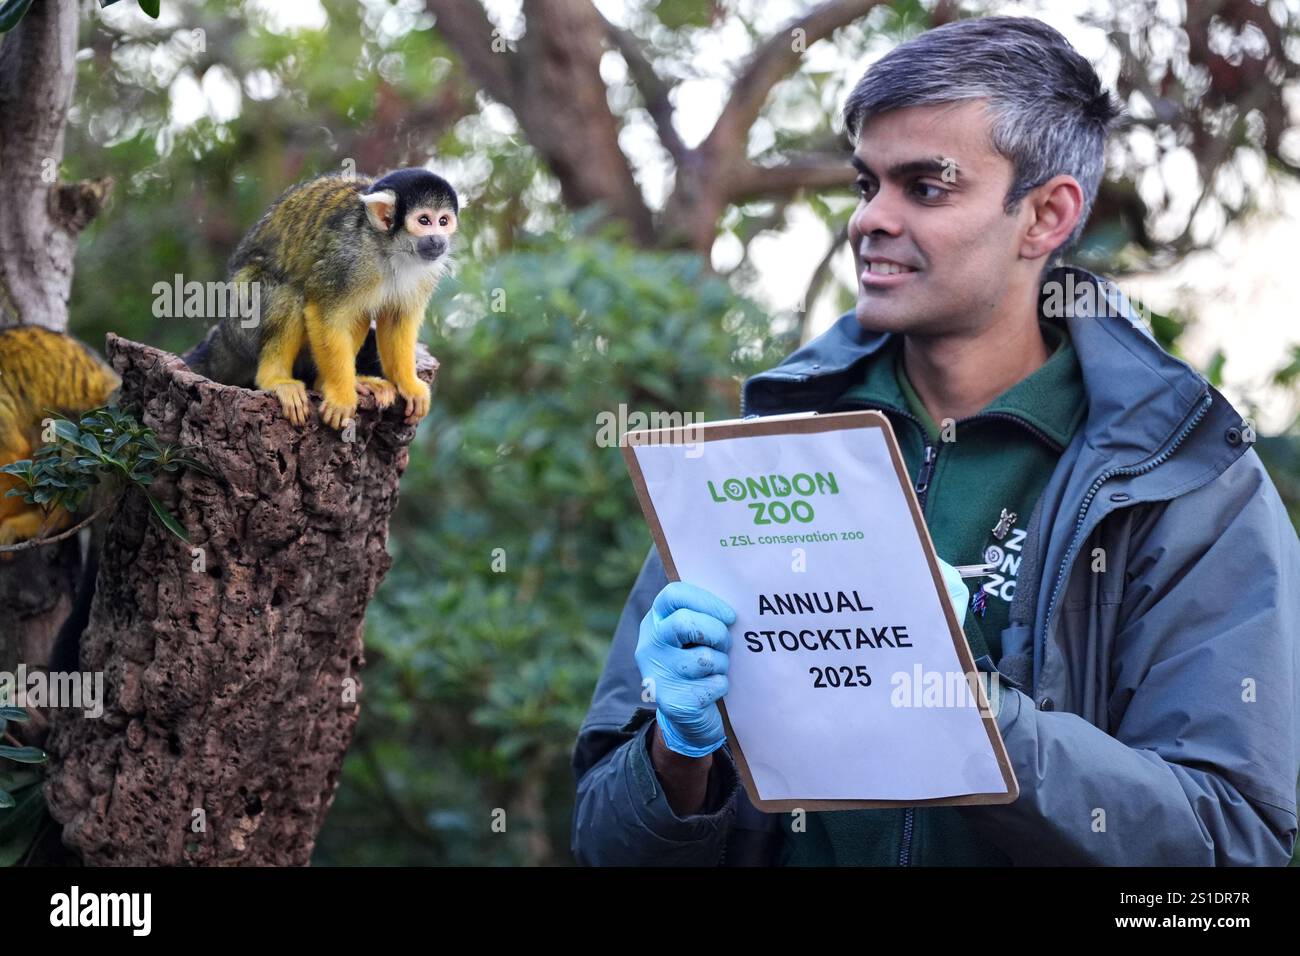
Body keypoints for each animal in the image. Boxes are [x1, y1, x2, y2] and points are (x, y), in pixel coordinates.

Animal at [184, 168, 459, 430]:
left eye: (443, 221)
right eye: (424, 220)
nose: (439, 240)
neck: (391, 247)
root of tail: (225, 332)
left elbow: (396, 319)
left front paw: (408, 384)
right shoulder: (348, 257)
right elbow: (324, 313)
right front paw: (340, 397)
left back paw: (331, 383)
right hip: (241, 314)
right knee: (290, 293)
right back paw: (276, 379)